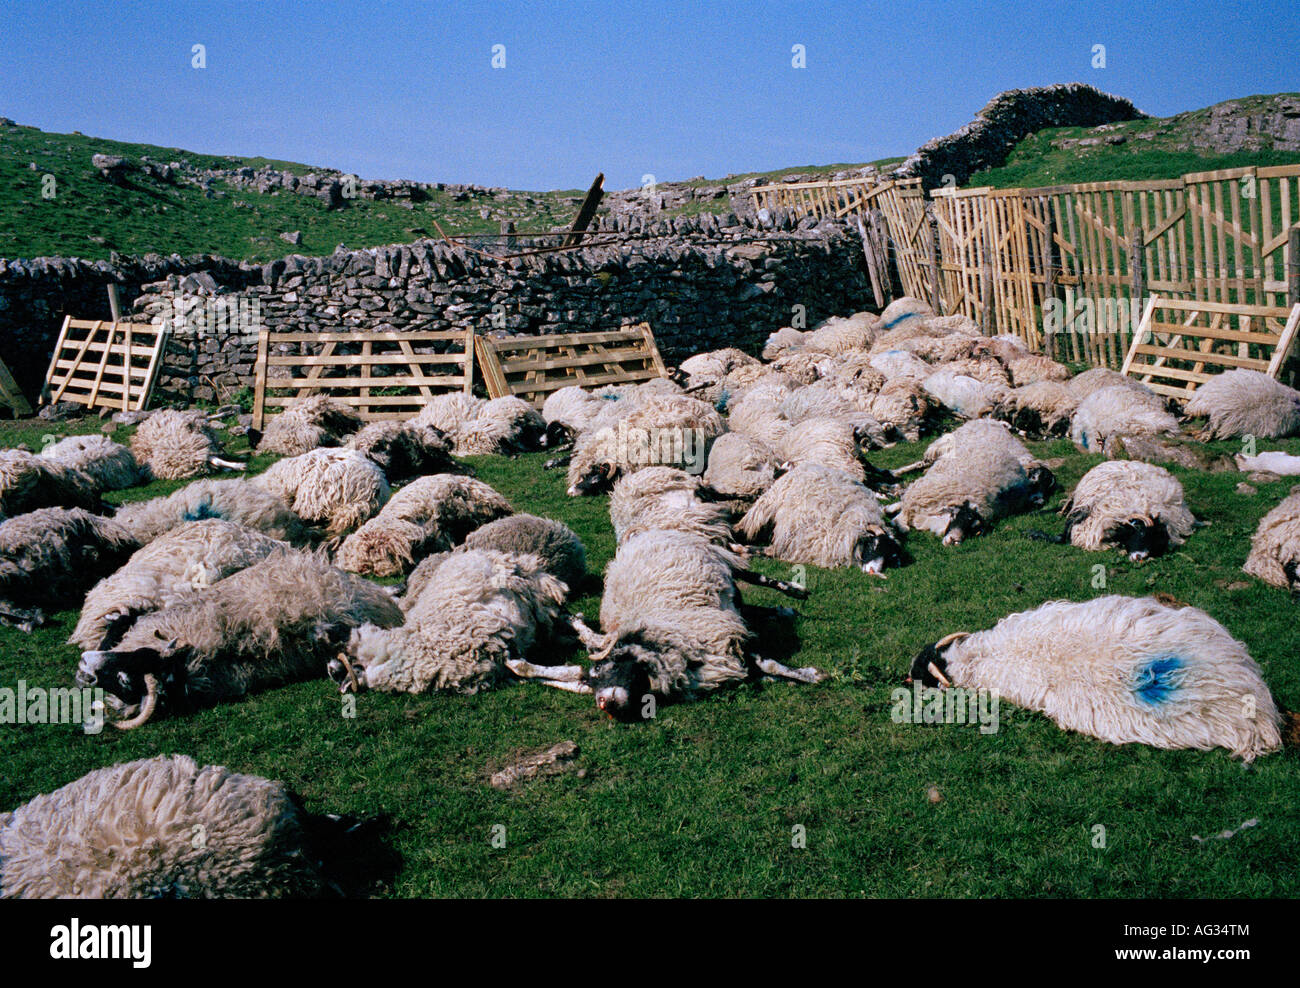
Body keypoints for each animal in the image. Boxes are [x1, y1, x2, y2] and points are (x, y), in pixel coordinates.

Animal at [334, 547, 581, 696]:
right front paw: (578, 682)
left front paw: (576, 674)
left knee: (561, 614)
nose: (332, 670)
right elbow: (524, 672)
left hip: (532, 592)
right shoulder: (494, 663)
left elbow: (523, 668)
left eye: (350, 662)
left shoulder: (494, 638)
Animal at [572, 529, 819, 719]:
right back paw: (782, 611)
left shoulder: (724, 641)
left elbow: (770, 664)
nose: (603, 703)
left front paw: (813, 675)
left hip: (716, 557)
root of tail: (642, 535)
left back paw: (796, 591)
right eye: (589, 683)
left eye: (600, 667)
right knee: (746, 607)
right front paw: (796, 678)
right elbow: (764, 671)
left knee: (753, 576)